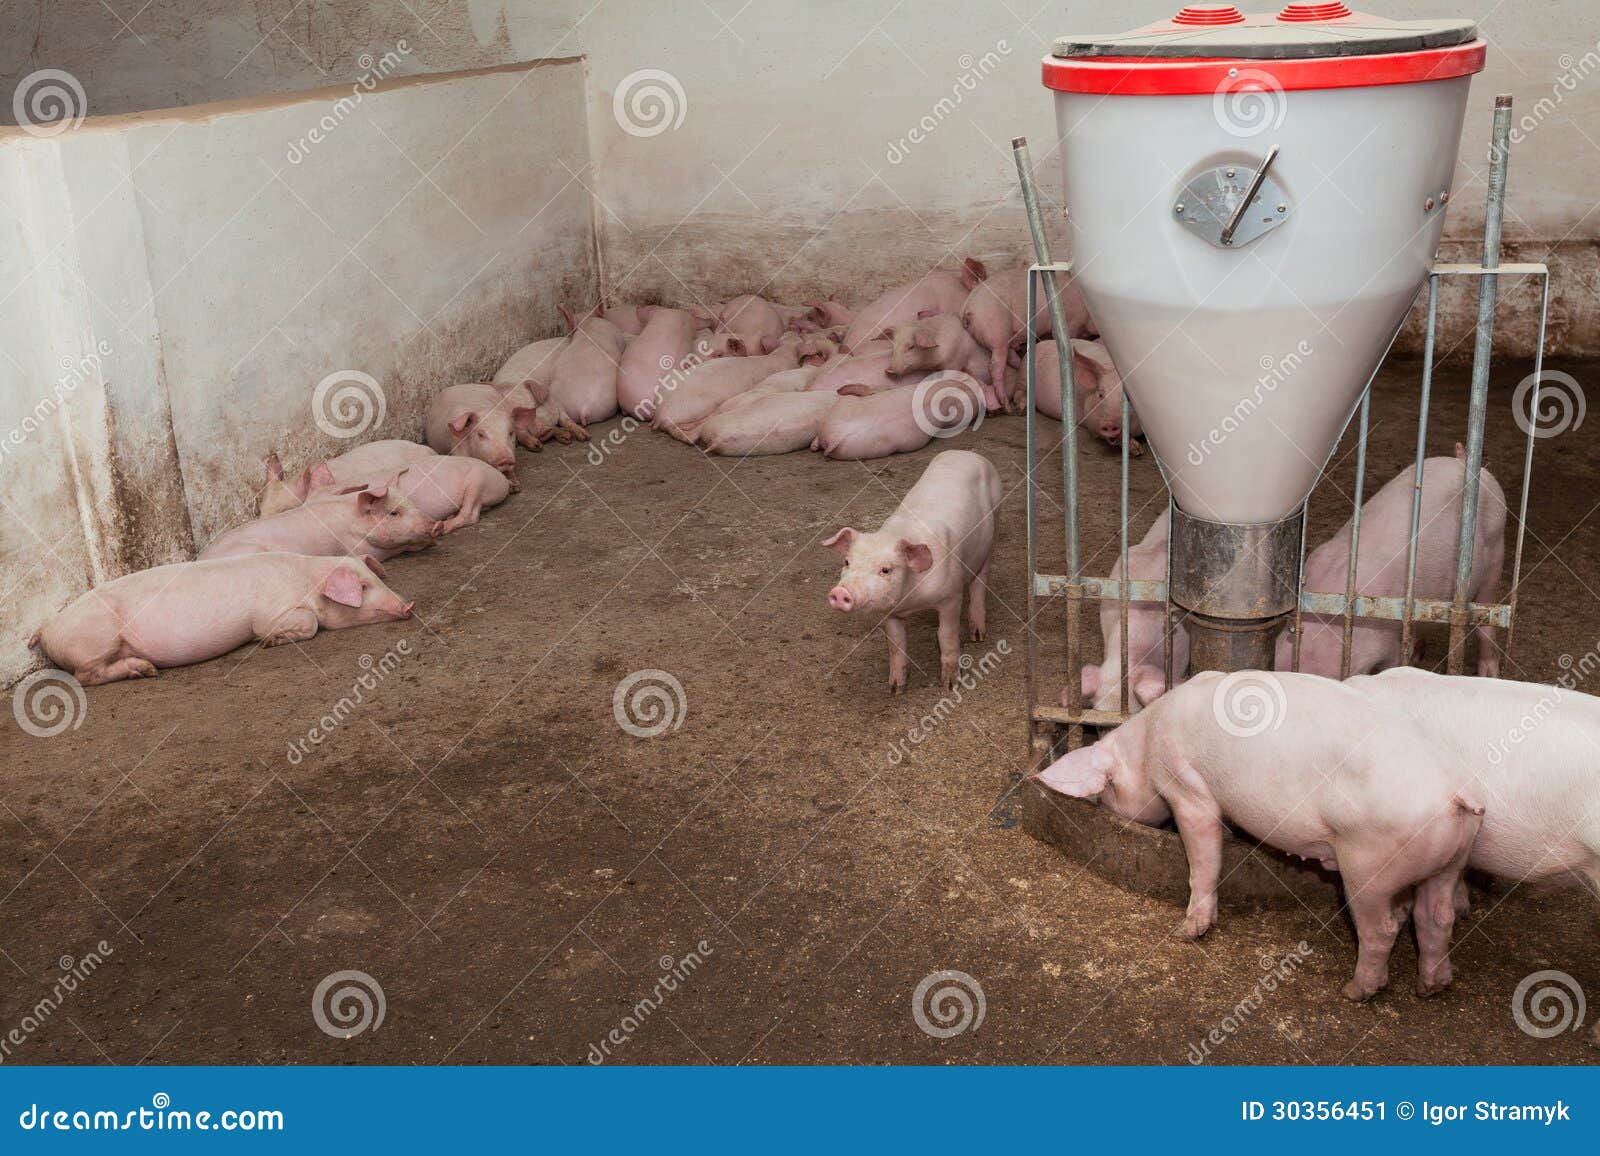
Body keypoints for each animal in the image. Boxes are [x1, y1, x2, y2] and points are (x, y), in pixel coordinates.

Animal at [30, 553, 413, 685]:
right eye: (363, 587)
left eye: (375, 578)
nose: (408, 606)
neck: (307, 579)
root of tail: (47, 628)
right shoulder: (270, 611)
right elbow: (308, 623)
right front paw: (270, 642)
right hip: (96, 641)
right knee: (85, 676)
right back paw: (145, 671)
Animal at [823, 449, 1002, 692]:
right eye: (847, 562)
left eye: (886, 570)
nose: (841, 592)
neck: (912, 601)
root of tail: (968, 453)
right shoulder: (890, 612)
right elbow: (896, 644)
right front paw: (895, 689)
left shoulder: (951, 596)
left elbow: (946, 635)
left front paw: (950, 685)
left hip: (993, 530)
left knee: (980, 583)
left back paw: (977, 636)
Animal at [960, 265, 1095, 399]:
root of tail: (967, 309)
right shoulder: (1071, 321)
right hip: (997, 332)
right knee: (995, 366)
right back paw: (1005, 402)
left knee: (1010, 357)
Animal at [1037, 670, 1483, 1000]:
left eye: (1108, 789)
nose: (1104, 808)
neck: (1147, 742)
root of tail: (1456, 793)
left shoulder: (1187, 786)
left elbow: (1203, 854)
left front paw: (1186, 932)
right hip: (1454, 857)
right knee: (1437, 916)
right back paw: (1432, 986)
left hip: (1369, 866)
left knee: (1382, 929)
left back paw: (1355, 991)